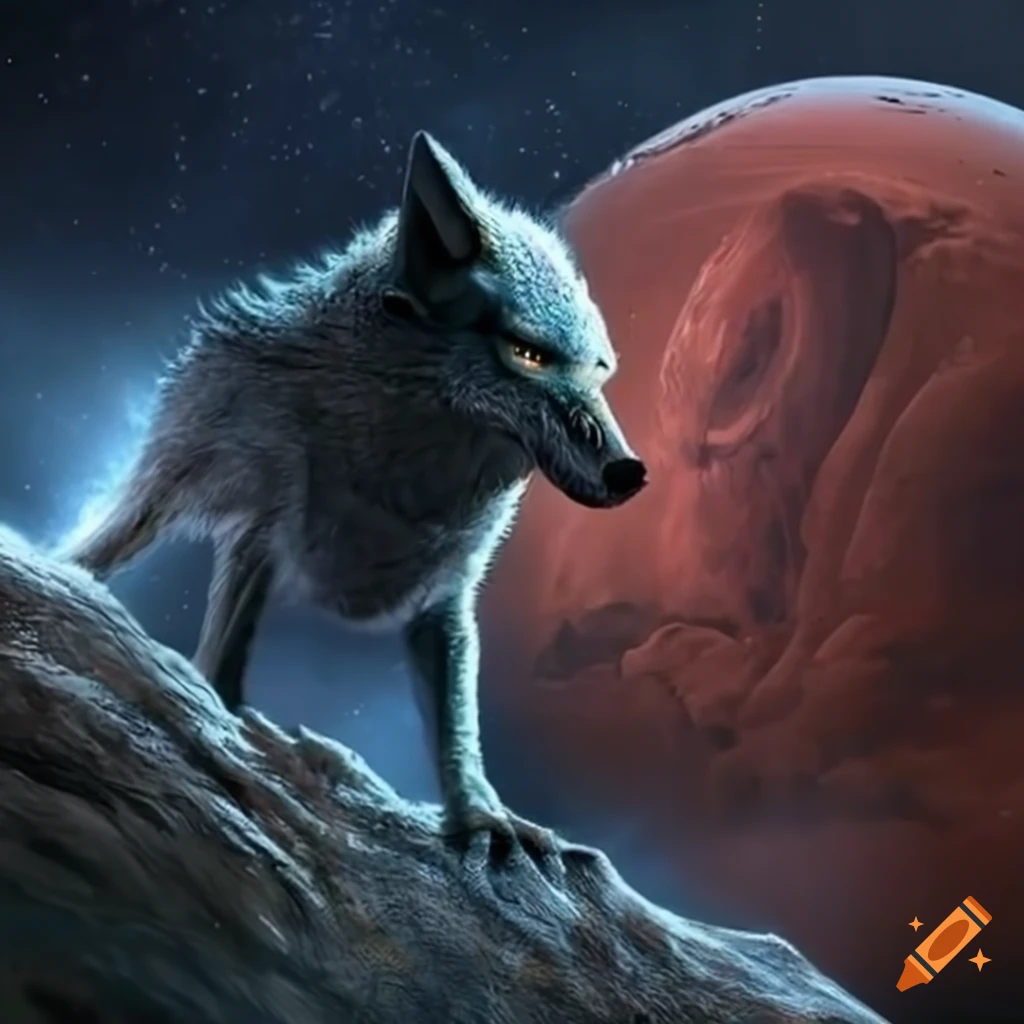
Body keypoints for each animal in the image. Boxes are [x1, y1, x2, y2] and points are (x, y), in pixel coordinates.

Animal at [61, 131, 647, 862]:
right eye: (528, 354)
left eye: (599, 370)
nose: (629, 472)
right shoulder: (253, 521)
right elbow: (212, 662)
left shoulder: (446, 598)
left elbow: (458, 723)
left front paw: (482, 818)